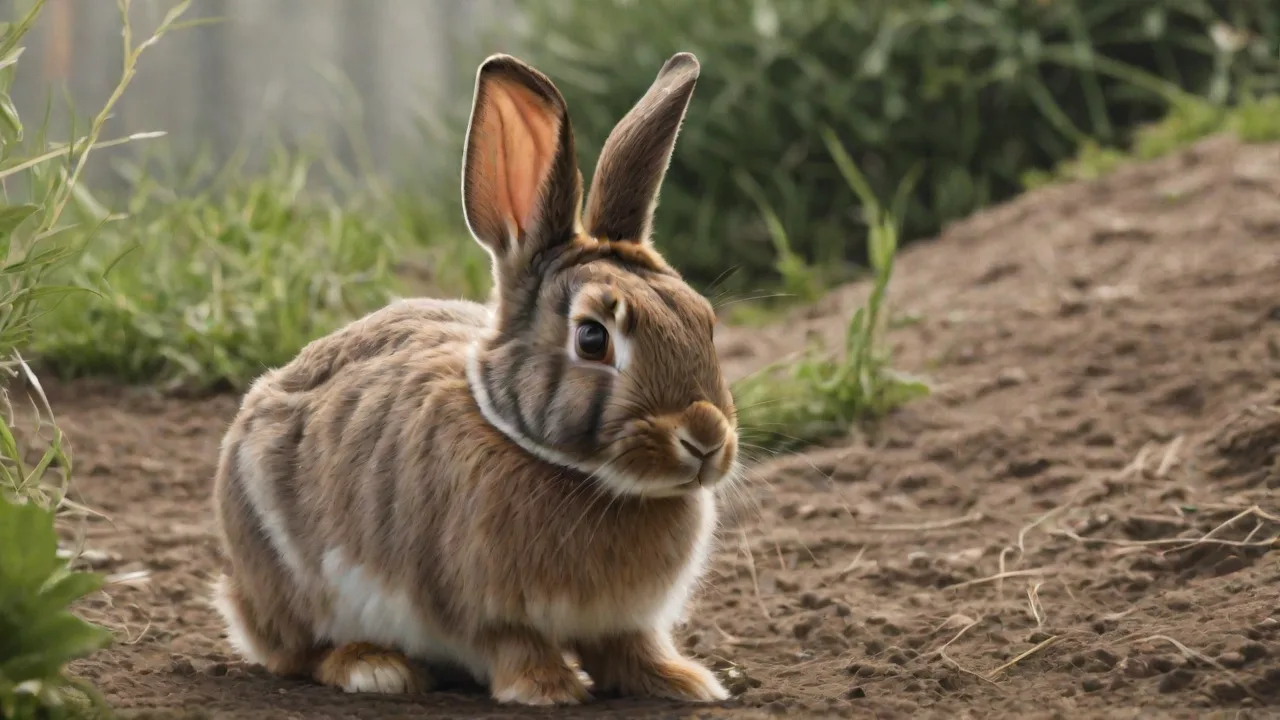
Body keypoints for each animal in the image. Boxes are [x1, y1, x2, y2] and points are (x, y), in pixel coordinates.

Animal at [209, 50, 742, 707]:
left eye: (704, 319)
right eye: (593, 338)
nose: (706, 439)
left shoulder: (625, 622)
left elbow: (631, 648)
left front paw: (686, 682)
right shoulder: (478, 610)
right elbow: (512, 645)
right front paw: (548, 688)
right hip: (288, 578)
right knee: (297, 652)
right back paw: (375, 668)